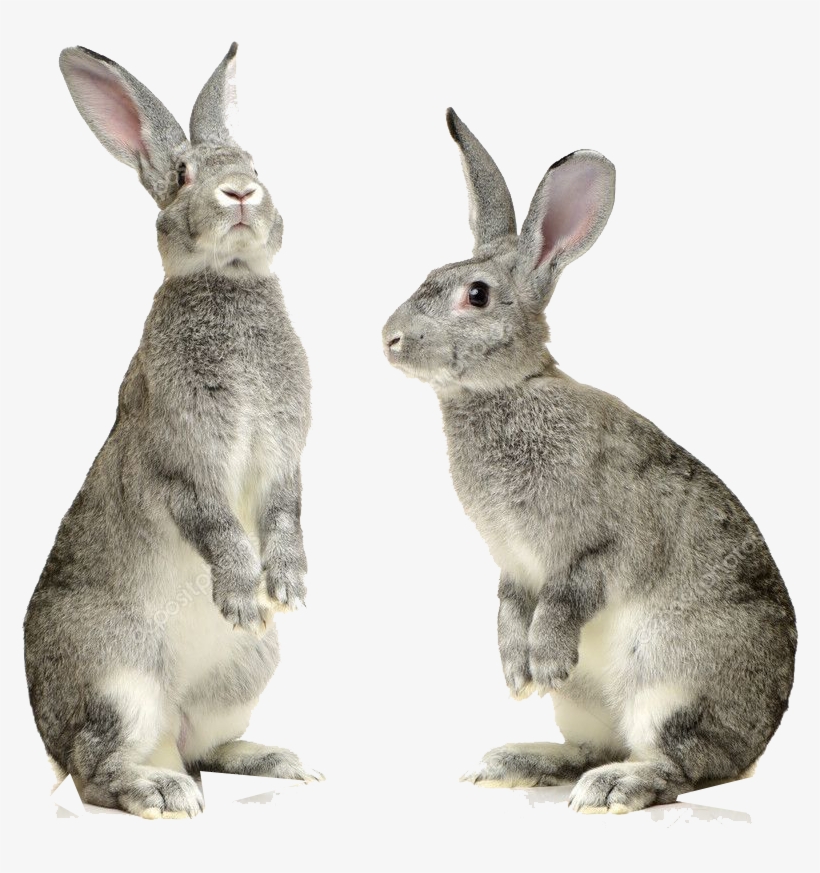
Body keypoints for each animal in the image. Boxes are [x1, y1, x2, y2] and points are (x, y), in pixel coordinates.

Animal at [23, 44, 321, 819]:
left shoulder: (284, 460)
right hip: (117, 684)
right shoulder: (182, 464)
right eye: (184, 174)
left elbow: (283, 516)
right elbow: (218, 525)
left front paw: (289, 589)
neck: (229, 280)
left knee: (203, 748)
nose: (242, 192)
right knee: (97, 771)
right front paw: (244, 596)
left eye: (255, 161)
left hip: (242, 675)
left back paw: (282, 762)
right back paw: (162, 794)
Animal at [381, 109, 796, 814]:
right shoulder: (512, 567)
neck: (508, 389)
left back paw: (614, 788)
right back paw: (513, 762)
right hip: (585, 706)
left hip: (673, 687)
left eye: (476, 296)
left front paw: (543, 662)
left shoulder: (598, 546)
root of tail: (758, 742)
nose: (389, 338)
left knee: (683, 766)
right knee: (593, 747)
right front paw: (518, 676)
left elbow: (566, 597)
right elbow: (509, 610)